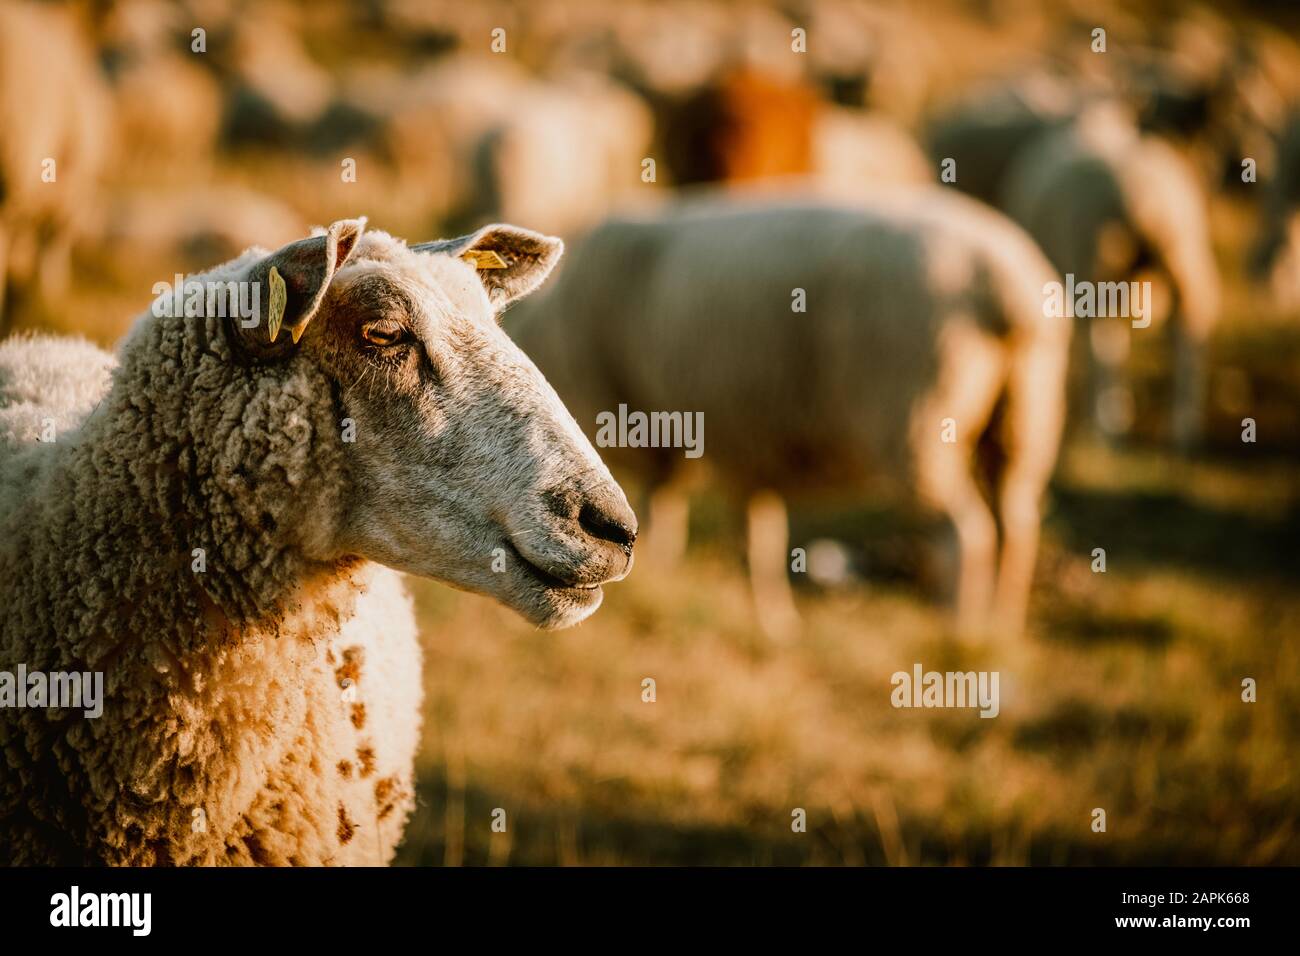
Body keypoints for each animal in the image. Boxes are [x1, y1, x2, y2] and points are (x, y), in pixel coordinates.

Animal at [508, 192, 1070, 639]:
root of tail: (1003, 283)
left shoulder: (654, 427)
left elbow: (674, 514)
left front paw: (669, 579)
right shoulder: (734, 438)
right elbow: (754, 532)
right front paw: (767, 618)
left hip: (917, 420)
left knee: (962, 533)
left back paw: (957, 628)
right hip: (1026, 418)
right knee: (1016, 520)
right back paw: (1002, 627)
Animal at [999, 106, 1221, 450]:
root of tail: (1144, 200)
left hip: (1096, 260)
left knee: (1102, 345)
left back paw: (1105, 425)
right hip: (1183, 252)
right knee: (1186, 329)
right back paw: (1183, 426)